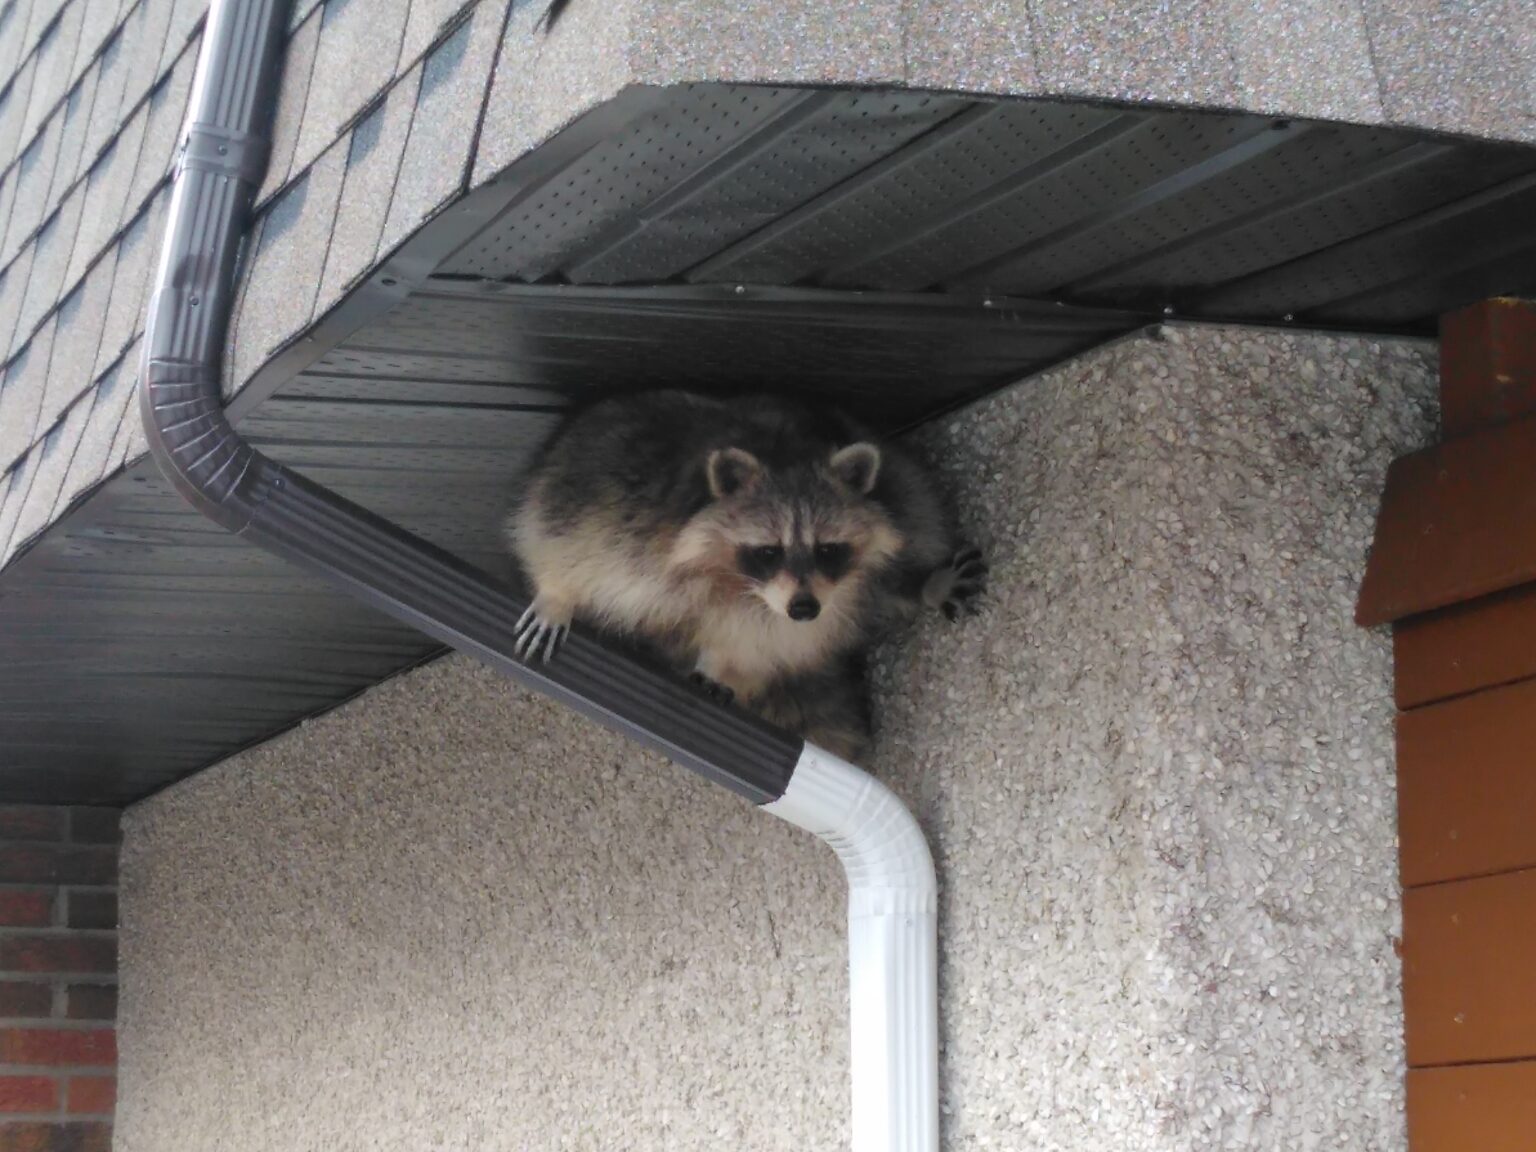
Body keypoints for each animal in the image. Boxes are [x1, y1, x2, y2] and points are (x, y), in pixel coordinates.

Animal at [507, 390, 985, 758]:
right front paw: (557, 593)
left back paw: (923, 585)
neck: (738, 583)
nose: (804, 608)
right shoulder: (625, 507)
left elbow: (766, 643)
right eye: (769, 551)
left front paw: (724, 667)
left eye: (828, 549)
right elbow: (565, 536)